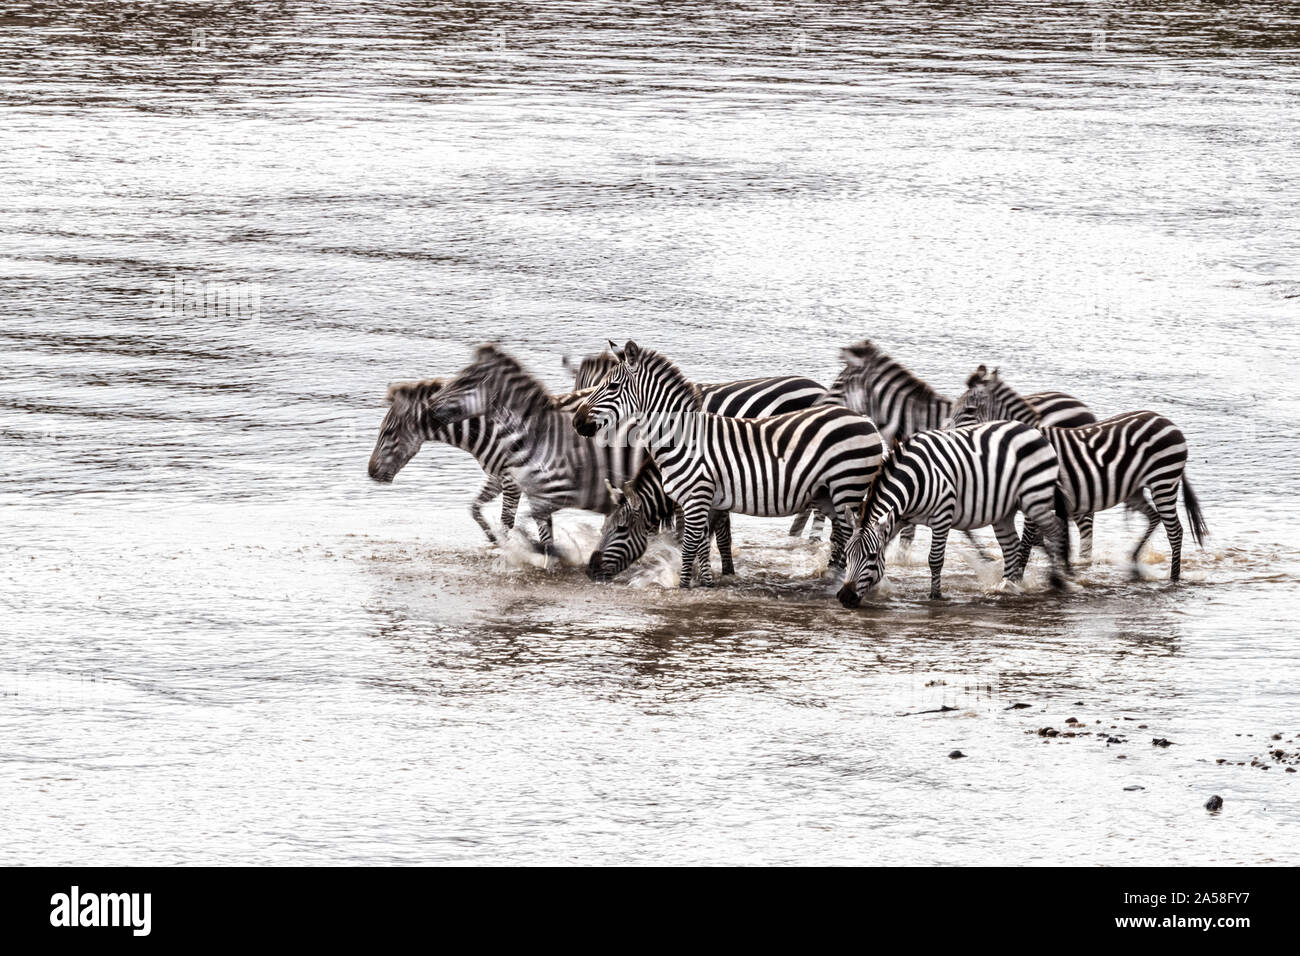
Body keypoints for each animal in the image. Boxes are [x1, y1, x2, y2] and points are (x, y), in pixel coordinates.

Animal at [367, 378, 524, 544]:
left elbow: (506, 521)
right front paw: (493, 538)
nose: (371, 472)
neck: (492, 433)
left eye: (388, 432)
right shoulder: (497, 477)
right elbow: (474, 508)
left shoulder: (512, 481)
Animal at [573, 341, 884, 588]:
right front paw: (708, 582)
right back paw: (829, 576)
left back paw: (838, 580)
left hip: (847, 488)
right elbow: (705, 544)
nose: (577, 422)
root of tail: (863, 419)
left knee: (848, 535)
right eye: (602, 528)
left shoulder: (696, 496)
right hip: (828, 493)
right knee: (838, 536)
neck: (682, 437)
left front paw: (684, 587)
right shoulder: (709, 501)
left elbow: (689, 545)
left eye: (612, 386)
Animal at [837, 421, 1072, 605]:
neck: (914, 481)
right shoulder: (898, 519)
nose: (845, 597)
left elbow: (935, 559)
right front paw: (878, 589)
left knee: (1056, 529)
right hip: (1004, 512)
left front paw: (935, 596)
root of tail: (1035, 432)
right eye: (847, 554)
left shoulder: (943, 514)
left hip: (1034, 499)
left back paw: (1056, 580)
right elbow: (885, 547)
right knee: (1011, 548)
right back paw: (1007, 586)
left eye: (871, 556)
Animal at [950, 376, 1207, 580]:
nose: (949, 434)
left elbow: (1028, 543)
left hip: (1163, 480)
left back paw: (1174, 577)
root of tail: (1167, 421)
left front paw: (1018, 578)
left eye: (969, 410)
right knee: (1153, 517)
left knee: (1175, 530)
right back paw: (1134, 562)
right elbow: (1043, 540)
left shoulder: (1036, 500)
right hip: (1133, 490)